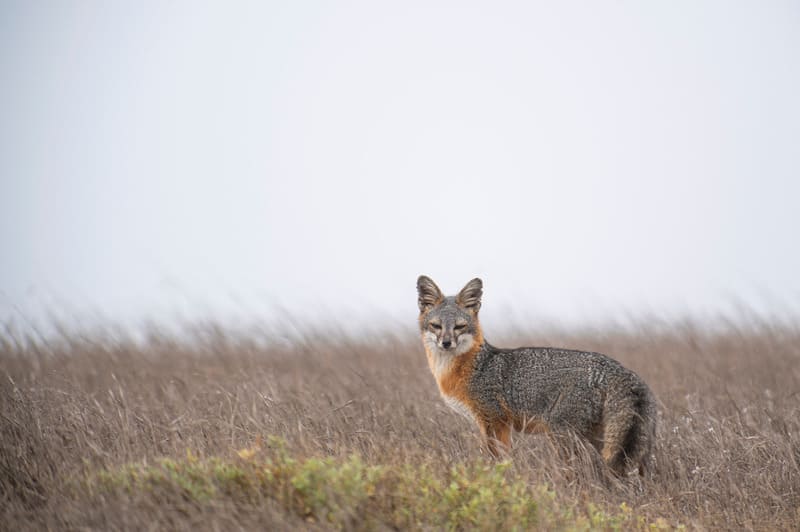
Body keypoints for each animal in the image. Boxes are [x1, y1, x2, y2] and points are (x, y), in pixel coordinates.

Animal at [417, 275, 657, 476]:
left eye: (459, 326)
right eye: (436, 326)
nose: (446, 343)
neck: (471, 365)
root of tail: (617, 367)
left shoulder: (495, 421)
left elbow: (499, 460)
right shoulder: (492, 424)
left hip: (562, 434)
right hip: (599, 437)